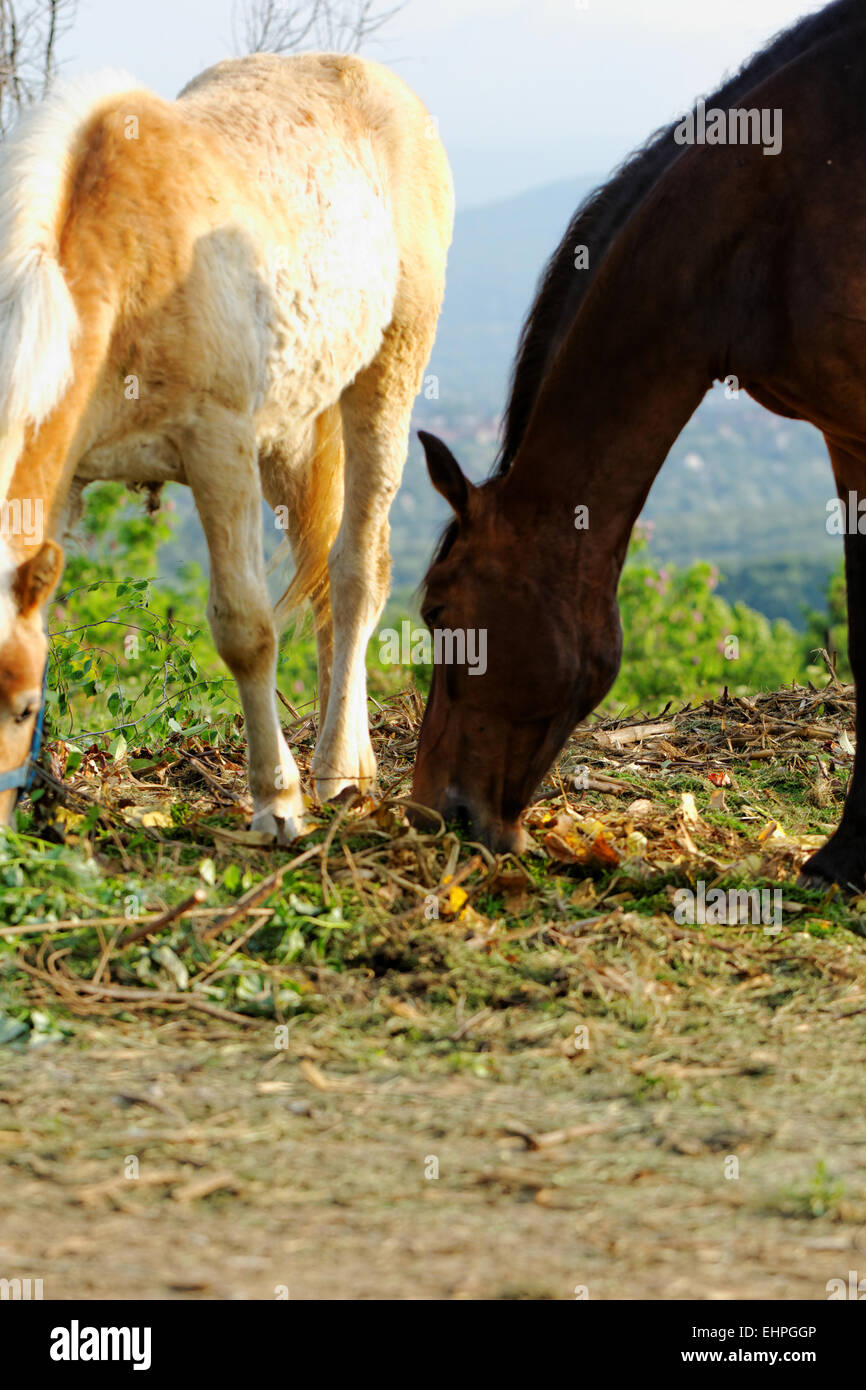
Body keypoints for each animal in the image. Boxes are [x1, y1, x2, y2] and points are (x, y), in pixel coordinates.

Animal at [0, 53, 453, 837]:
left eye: (22, 708)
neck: (128, 257)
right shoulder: (61, 484)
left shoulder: (219, 454)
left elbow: (247, 631)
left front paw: (277, 802)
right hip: (291, 436)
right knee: (328, 573)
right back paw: (354, 761)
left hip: (387, 378)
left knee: (356, 571)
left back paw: (335, 768)